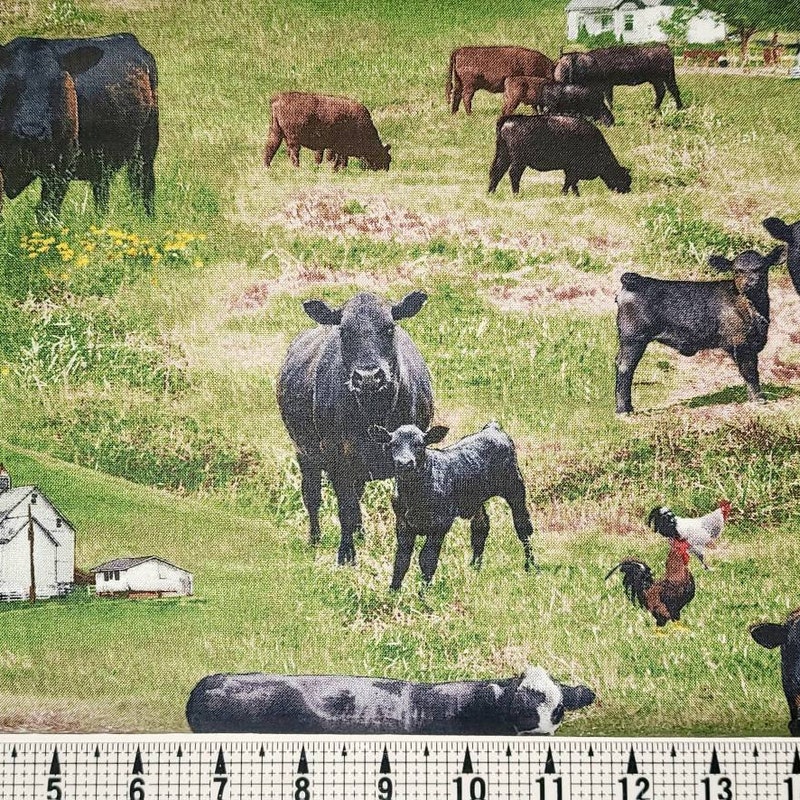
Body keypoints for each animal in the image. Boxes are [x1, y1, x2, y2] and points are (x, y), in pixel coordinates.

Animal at [0, 34, 158, 222]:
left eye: (58, 83)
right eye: (7, 84)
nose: (32, 131)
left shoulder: (61, 165)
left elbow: (47, 211)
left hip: (146, 146)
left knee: (143, 186)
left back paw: (147, 220)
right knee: (102, 192)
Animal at [277, 292, 433, 565]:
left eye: (389, 327)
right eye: (344, 330)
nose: (369, 376)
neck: (374, 414)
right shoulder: (338, 459)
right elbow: (345, 509)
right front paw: (346, 554)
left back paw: (360, 534)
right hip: (304, 452)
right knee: (312, 496)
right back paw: (315, 538)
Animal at [367, 422, 534, 590]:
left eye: (419, 445)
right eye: (392, 444)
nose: (404, 463)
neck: (414, 494)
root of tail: (492, 427)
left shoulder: (440, 524)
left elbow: (427, 559)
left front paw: (423, 593)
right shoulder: (403, 524)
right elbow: (401, 559)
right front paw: (393, 591)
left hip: (515, 487)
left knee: (522, 526)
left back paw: (531, 566)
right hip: (476, 499)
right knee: (480, 528)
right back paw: (474, 569)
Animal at [488, 114, 631, 196]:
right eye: (624, 178)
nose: (627, 191)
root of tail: (510, 119)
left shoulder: (569, 168)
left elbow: (571, 181)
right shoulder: (573, 168)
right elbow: (571, 181)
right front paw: (568, 193)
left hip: (504, 155)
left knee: (497, 171)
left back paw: (491, 192)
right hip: (519, 161)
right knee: (513, 174)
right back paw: (516, 194)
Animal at [614, 231, 792, 414]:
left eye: (762, 268)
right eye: (737, 271)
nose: (751, 282)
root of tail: (635, 280)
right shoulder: (741, 342)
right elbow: (750, 372)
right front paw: (758, 400)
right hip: (633, 337)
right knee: (625, 366)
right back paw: (624, 409)